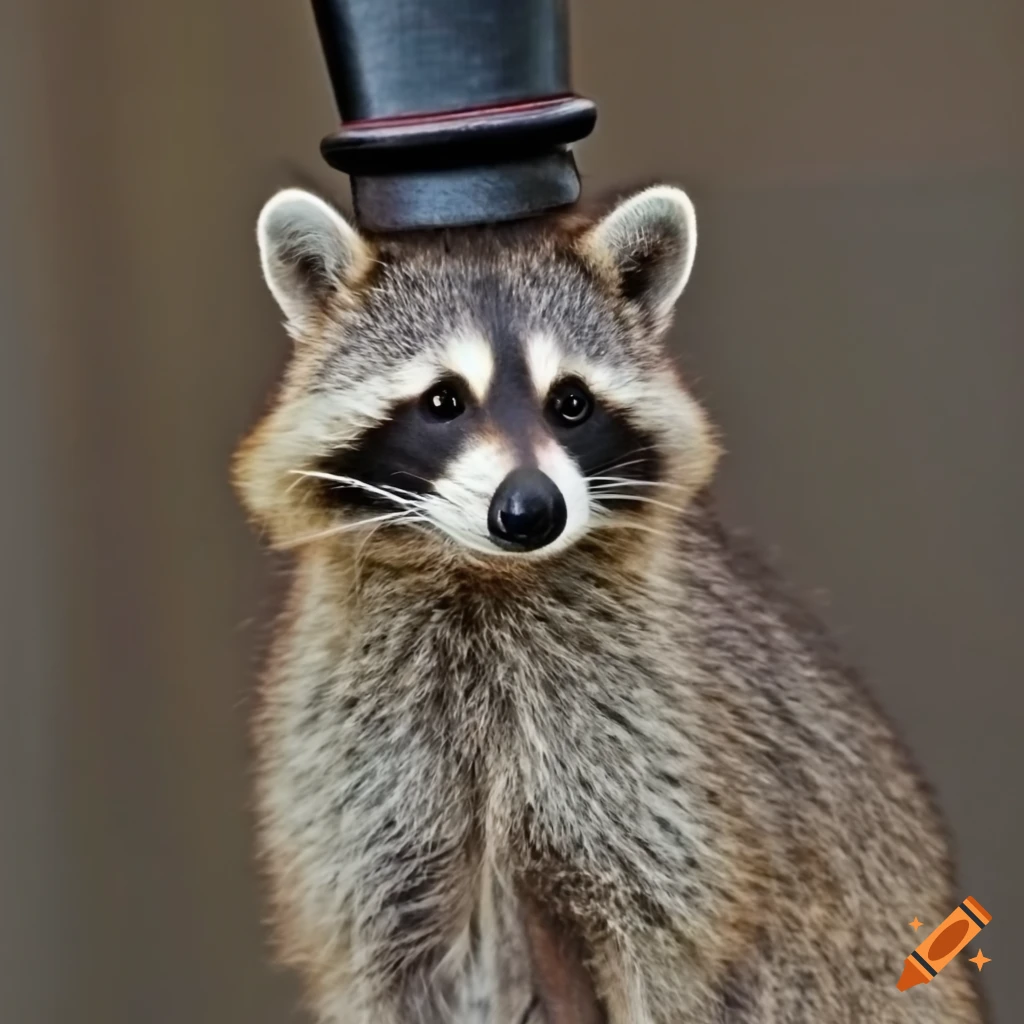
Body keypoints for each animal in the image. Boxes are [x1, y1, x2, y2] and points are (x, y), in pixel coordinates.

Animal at [233, 185, 985, 1024]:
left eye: (571, 402)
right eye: (443, 401)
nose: (531, 510)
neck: (491, 578)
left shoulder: (649, 753)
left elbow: (667, 947)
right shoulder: (364, 787)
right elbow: (386, 961)